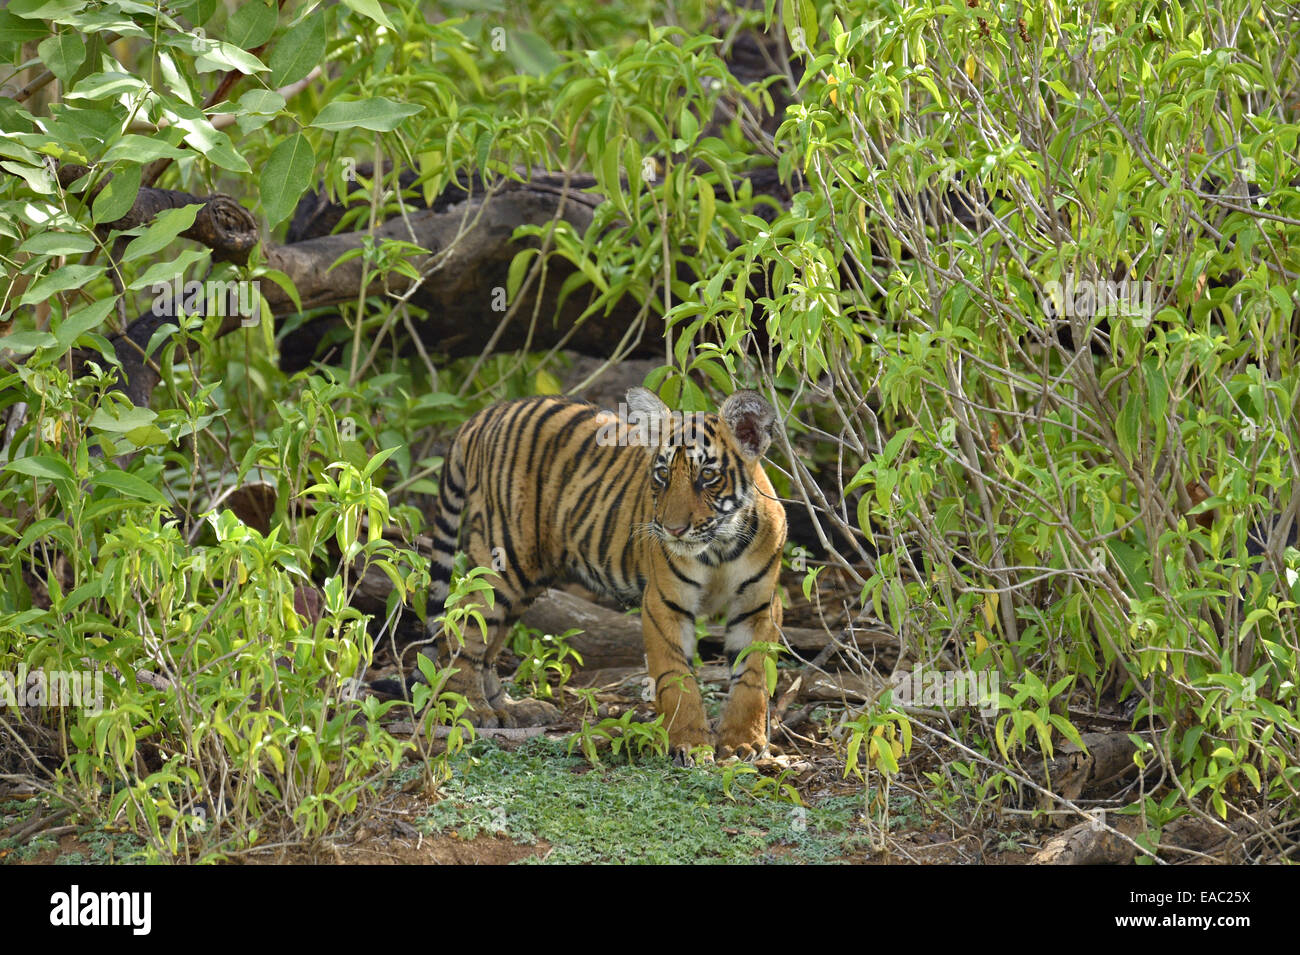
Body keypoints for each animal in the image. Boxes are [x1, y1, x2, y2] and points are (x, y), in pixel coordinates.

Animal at [386, 386, 787, 763]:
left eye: (707, 475)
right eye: (662, 475)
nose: (672, 530)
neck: (719, 548)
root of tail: (485, 414)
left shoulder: (759, 606)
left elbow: (752, 676)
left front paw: (742, 742)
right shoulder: (663, 604)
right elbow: (677, 678)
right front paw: (689, 742)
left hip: (526, 578)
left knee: (489, 638)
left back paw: (511, 709)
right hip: (504, 560)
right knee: (465, 626)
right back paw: (474, 710)